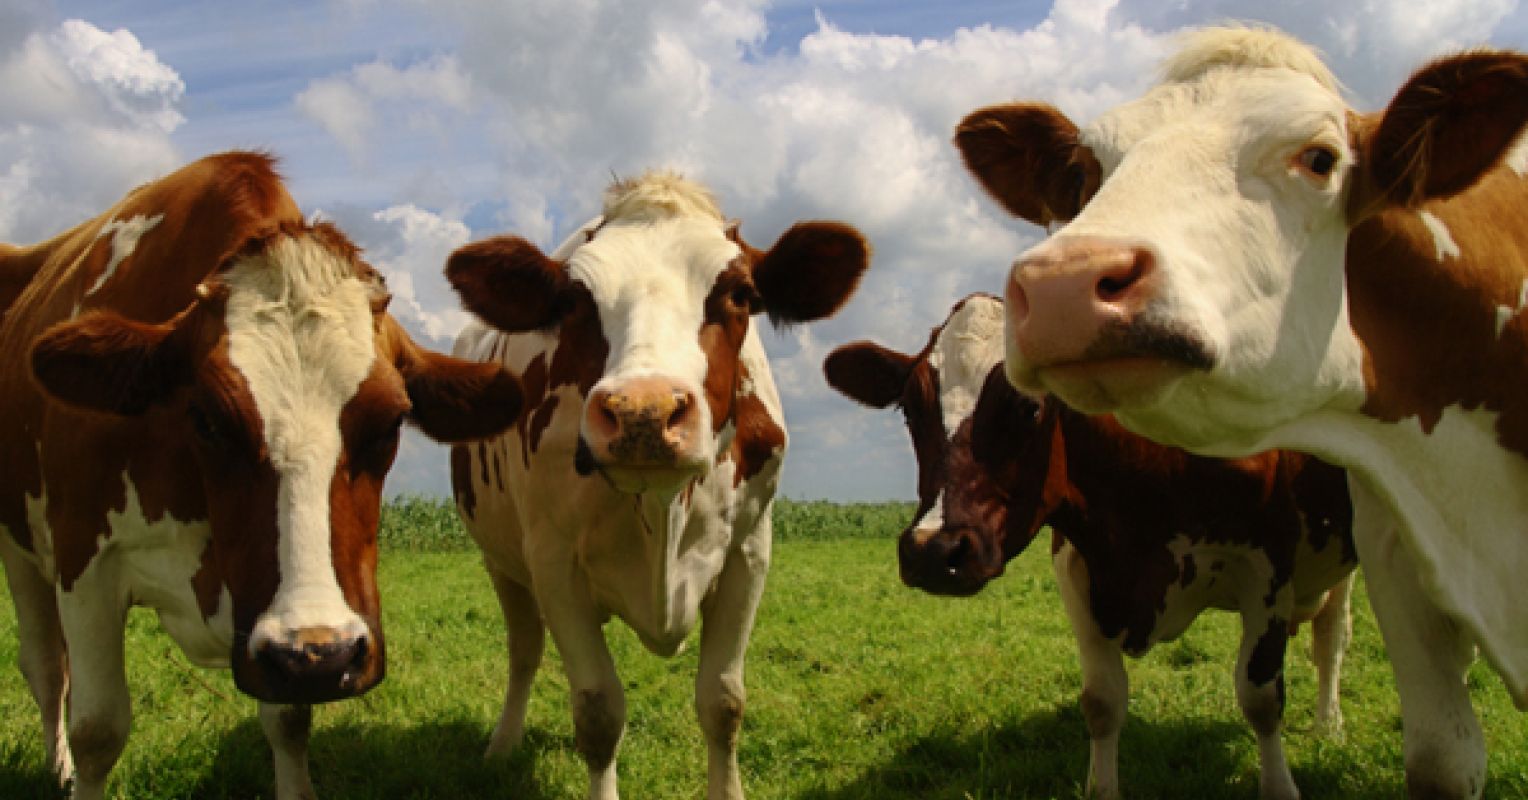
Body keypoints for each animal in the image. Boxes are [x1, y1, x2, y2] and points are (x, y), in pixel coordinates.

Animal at [0, 151, 525, 799]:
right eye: (205, 417)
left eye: (390, 421)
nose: (326, 655)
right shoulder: (86, 563)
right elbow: (98, 729)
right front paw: (79, 765)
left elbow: (288, 722)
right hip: (20, 550)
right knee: (47, 666)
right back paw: (59, 765)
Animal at [443, 171, 870, 800]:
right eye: (574, 301)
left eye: (740, 293)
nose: (643, 411)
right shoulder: (552, 560)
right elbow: (598, 713)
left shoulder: (750, 550)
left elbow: (723, 701)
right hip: (501, 561)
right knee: (524, 651)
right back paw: (501, 746)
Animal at [824, 293, 1356, 799]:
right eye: (909, 409)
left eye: (1028, 407)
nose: (933, 552)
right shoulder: (1078, 566)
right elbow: (1102, 701)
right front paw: (1102, 787)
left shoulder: (1268, 565)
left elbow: (1261, 697)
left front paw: (1280, 786)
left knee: (1332, 638)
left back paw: (1329, 725)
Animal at [954, 23, 1528, 799]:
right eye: (1082, 174)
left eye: (1319, 158)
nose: (1062, 286)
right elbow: (1441, 762)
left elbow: (1267, 690)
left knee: (1331, 636)